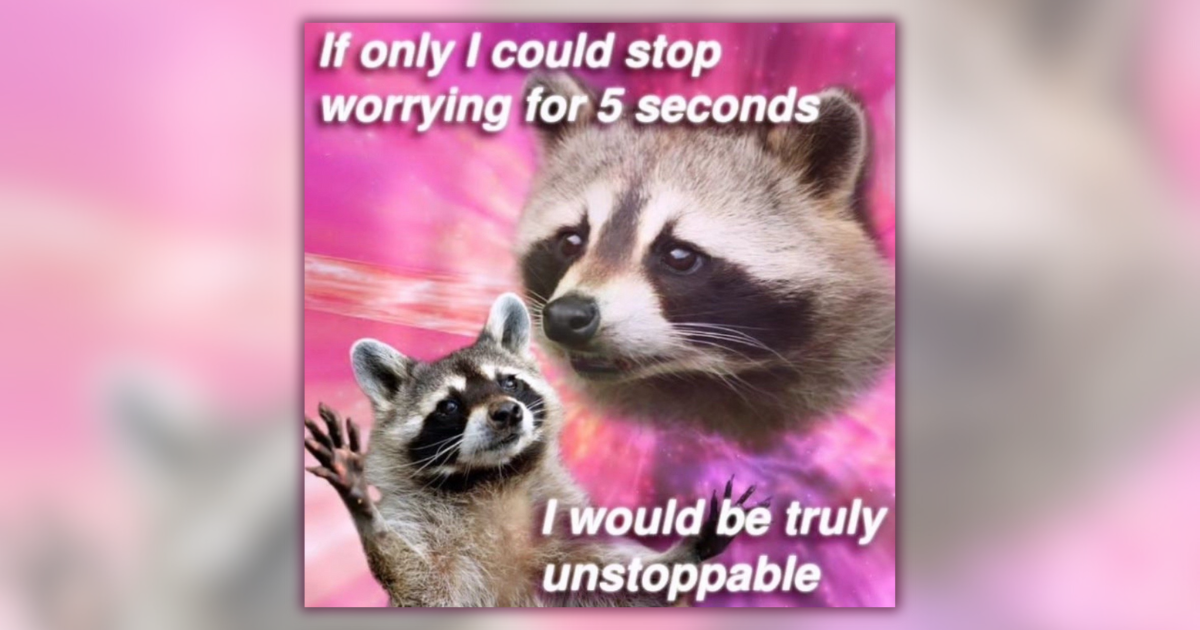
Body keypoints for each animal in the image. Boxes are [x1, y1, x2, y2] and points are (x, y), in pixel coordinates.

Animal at [304, 293, 752, 607]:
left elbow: (618, 588)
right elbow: (419, 582)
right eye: (449, 406)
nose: (506, 412)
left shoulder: (565, 531)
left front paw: (682, 556)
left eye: (509, 382)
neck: (492, 477)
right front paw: (362, 505)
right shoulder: (424, 536)